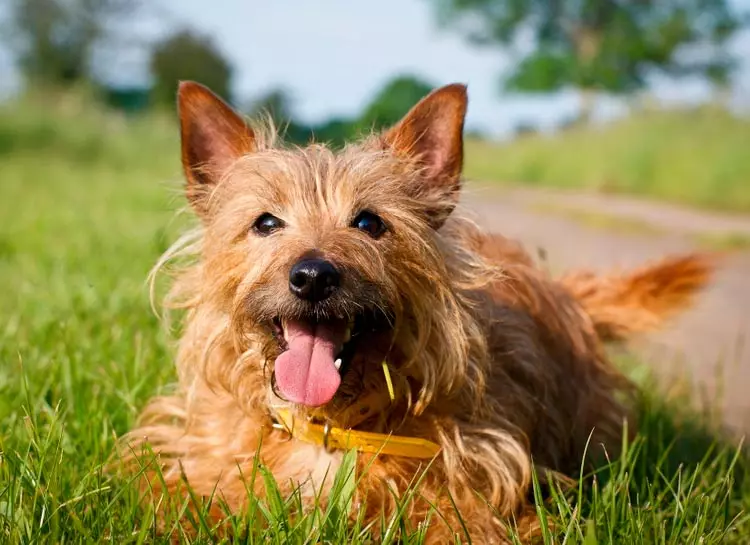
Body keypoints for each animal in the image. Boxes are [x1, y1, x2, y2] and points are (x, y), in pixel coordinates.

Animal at [125, 79, 716, 540]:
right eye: (266, 222)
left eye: (369, 222)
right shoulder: (194, 465)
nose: (313, 276)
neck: (332, 425)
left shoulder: (478, 497)